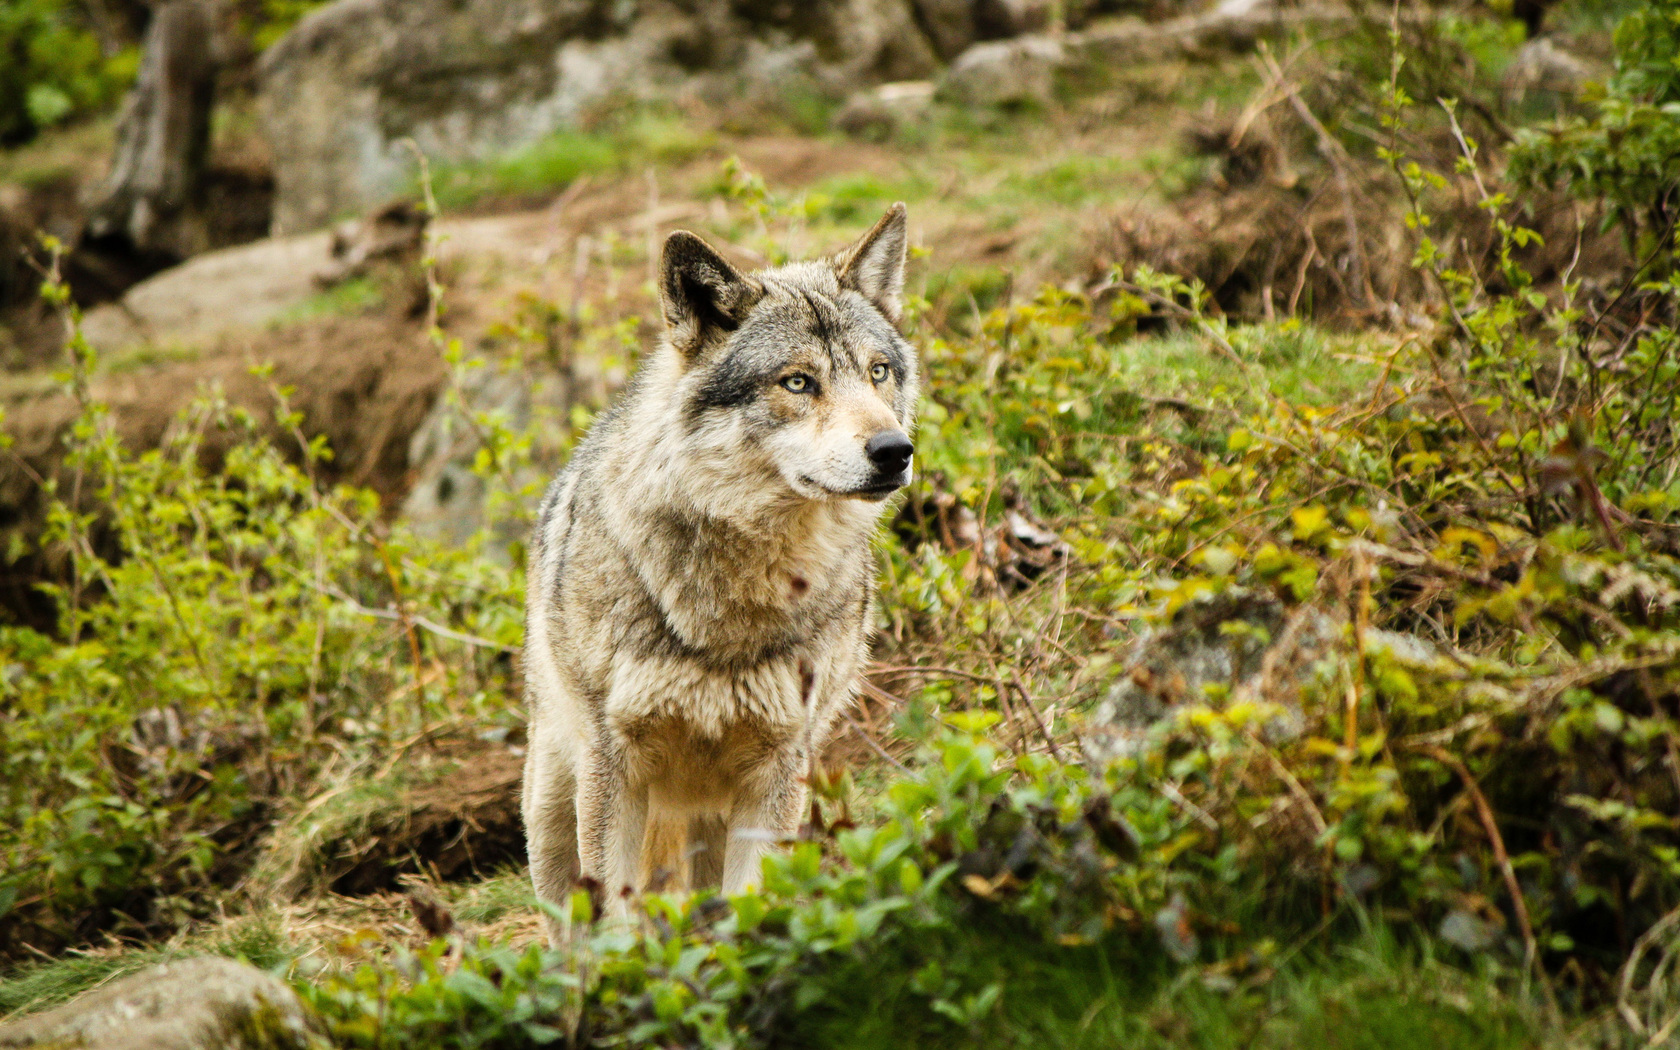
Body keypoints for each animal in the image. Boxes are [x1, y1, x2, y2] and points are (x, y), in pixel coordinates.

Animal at [521, 205, 919, 938]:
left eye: (878, 372)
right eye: (798, 382)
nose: (893, 450)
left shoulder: (778, 771)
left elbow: (750, 907)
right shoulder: (615, 768)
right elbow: (617, 923)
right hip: (555, 808)